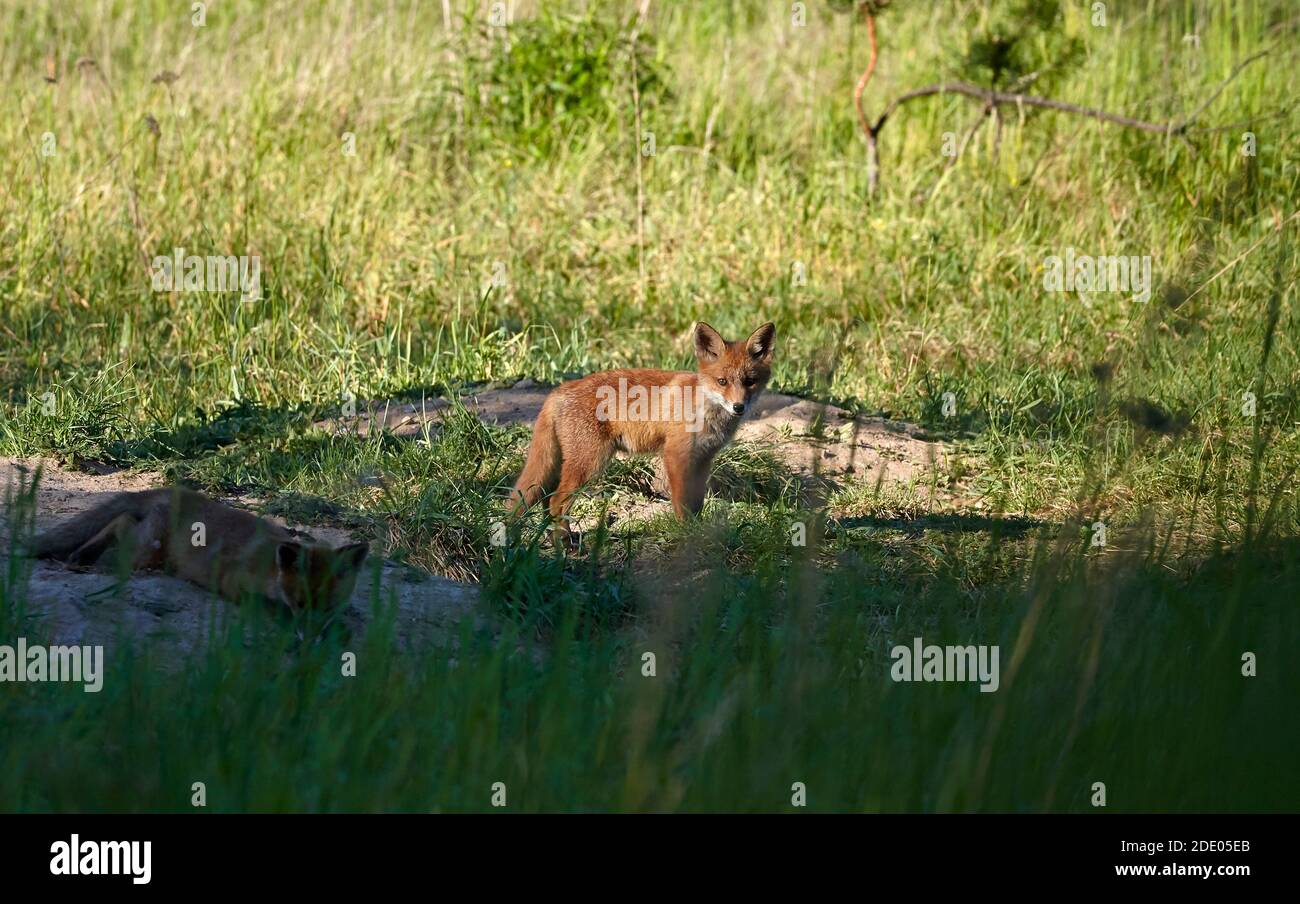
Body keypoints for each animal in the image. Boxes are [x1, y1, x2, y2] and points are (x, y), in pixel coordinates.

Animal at [30, 488, 368, 610]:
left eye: (328, 607)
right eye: (300, 603)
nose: (312, 640)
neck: (270, 567)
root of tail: (180, 491)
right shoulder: (232, 581)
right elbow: (262, 606)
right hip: (147, 553)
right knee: (121, 521)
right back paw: (81, 557)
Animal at [508, 321, 776, 528]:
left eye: (750, 381)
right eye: (722, 382)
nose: (738, 407)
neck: (703, 408)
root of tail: (560, 389)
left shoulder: (703, 459)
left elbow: (697, 502)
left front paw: (698, 531)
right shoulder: (675, 455)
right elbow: (681, 503)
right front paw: (685, 533)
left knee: (546, 501)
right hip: (590, 462)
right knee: (556, 503)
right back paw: (565, 547)